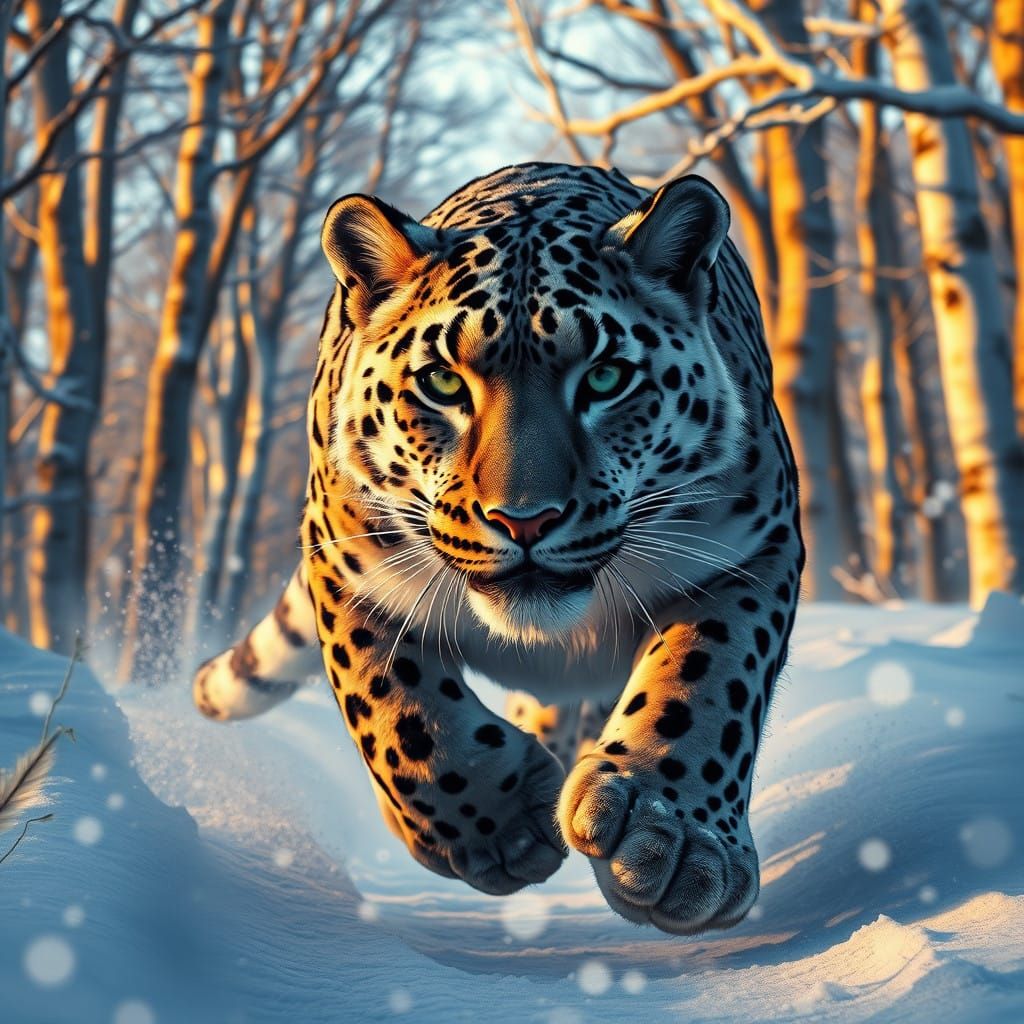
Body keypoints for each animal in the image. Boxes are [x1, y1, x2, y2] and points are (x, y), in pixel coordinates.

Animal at [193, 162, 803, 935]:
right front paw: (498, 826)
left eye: (605, 377)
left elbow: (710, 679)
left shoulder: (753, 550)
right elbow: (395, 708)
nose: (526, 520)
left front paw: (675, 837)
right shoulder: (341, 555)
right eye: (442, 382)